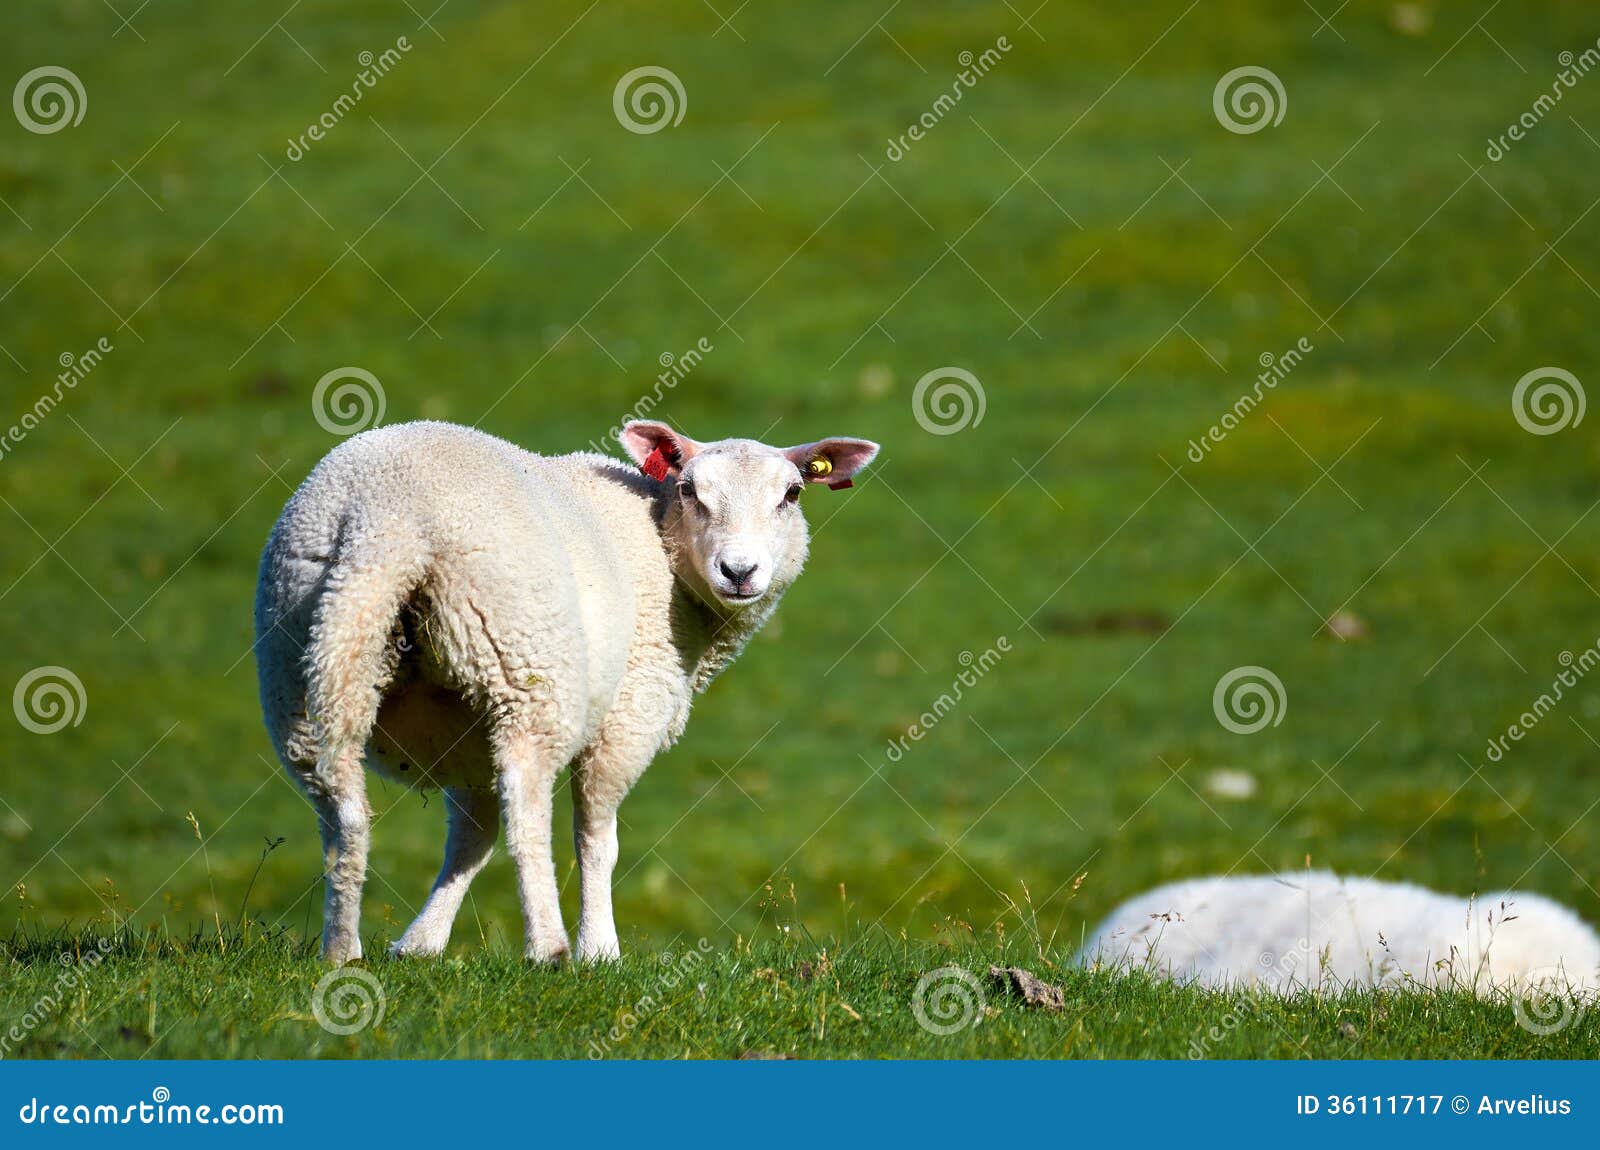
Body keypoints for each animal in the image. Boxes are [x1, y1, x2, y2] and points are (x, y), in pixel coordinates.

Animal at [254, 418, 878, 965]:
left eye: (791, 494)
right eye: (690, 489)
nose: (740, 571)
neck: (660, 536)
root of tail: (384, 518)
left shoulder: (464, 729)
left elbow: (473, 834)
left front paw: (420, 944)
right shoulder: (628, 715)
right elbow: (595, 837)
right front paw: (600, 951)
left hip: (301, 660)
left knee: (340, 805)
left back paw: (341, 948)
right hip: (525, 661)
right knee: (527, 804)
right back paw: (548, 947)